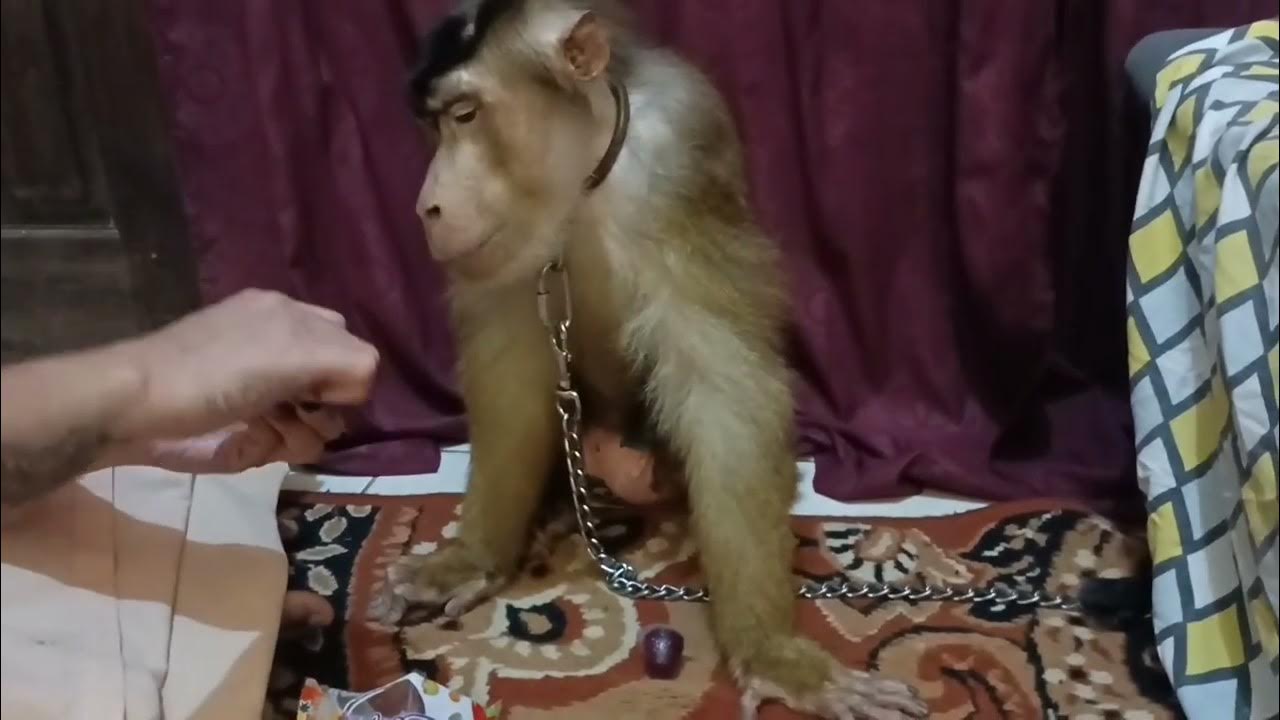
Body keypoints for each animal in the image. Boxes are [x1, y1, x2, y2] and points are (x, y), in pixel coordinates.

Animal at [370, 2, 928, 718]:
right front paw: (475, 556)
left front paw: (771, 652)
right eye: (435, 125)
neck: (584, 182)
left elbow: (723, 387)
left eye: (466, 115)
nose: (427, 207)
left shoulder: (679, 163)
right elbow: (511, 363)